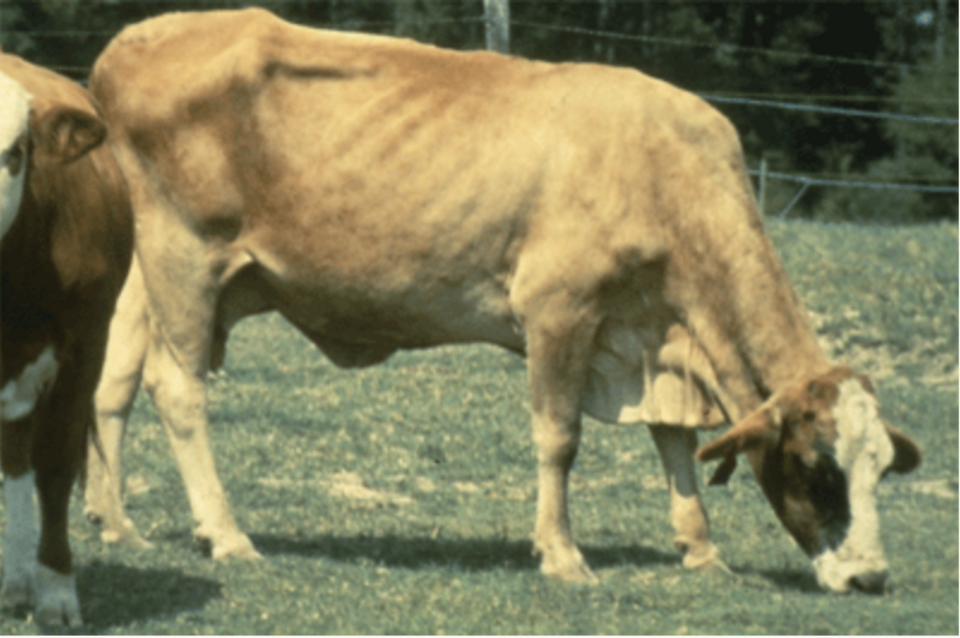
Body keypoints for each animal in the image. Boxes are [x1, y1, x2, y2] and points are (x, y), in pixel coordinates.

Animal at [85, 8, 921, 594]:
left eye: (881, 469)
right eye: (816, 466)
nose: (871, 577)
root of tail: (128, 43)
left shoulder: (653, 332)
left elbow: (674, 441)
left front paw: (700, 548)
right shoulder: (559, 308)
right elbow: (559, 438)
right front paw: (562, 554)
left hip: (143, 276)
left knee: (112, 382)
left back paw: (115, 522)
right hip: (186, 256)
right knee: (176, 388)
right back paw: (225, 533)